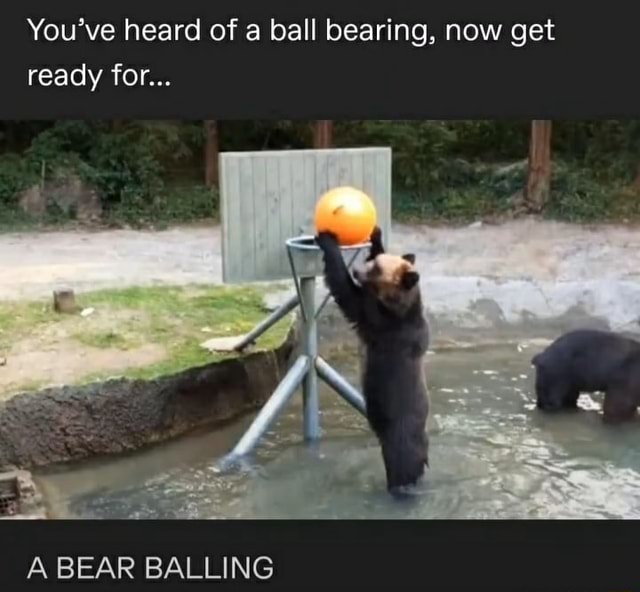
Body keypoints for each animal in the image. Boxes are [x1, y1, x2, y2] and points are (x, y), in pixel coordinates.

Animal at [315, 226, 430, 495]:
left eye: (376, 269)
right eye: (373, 262)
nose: (357, 270)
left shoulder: (382, 323)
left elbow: (345, 292)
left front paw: (328, 239)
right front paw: (376, 235)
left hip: (399, 434)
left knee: (402, 466)